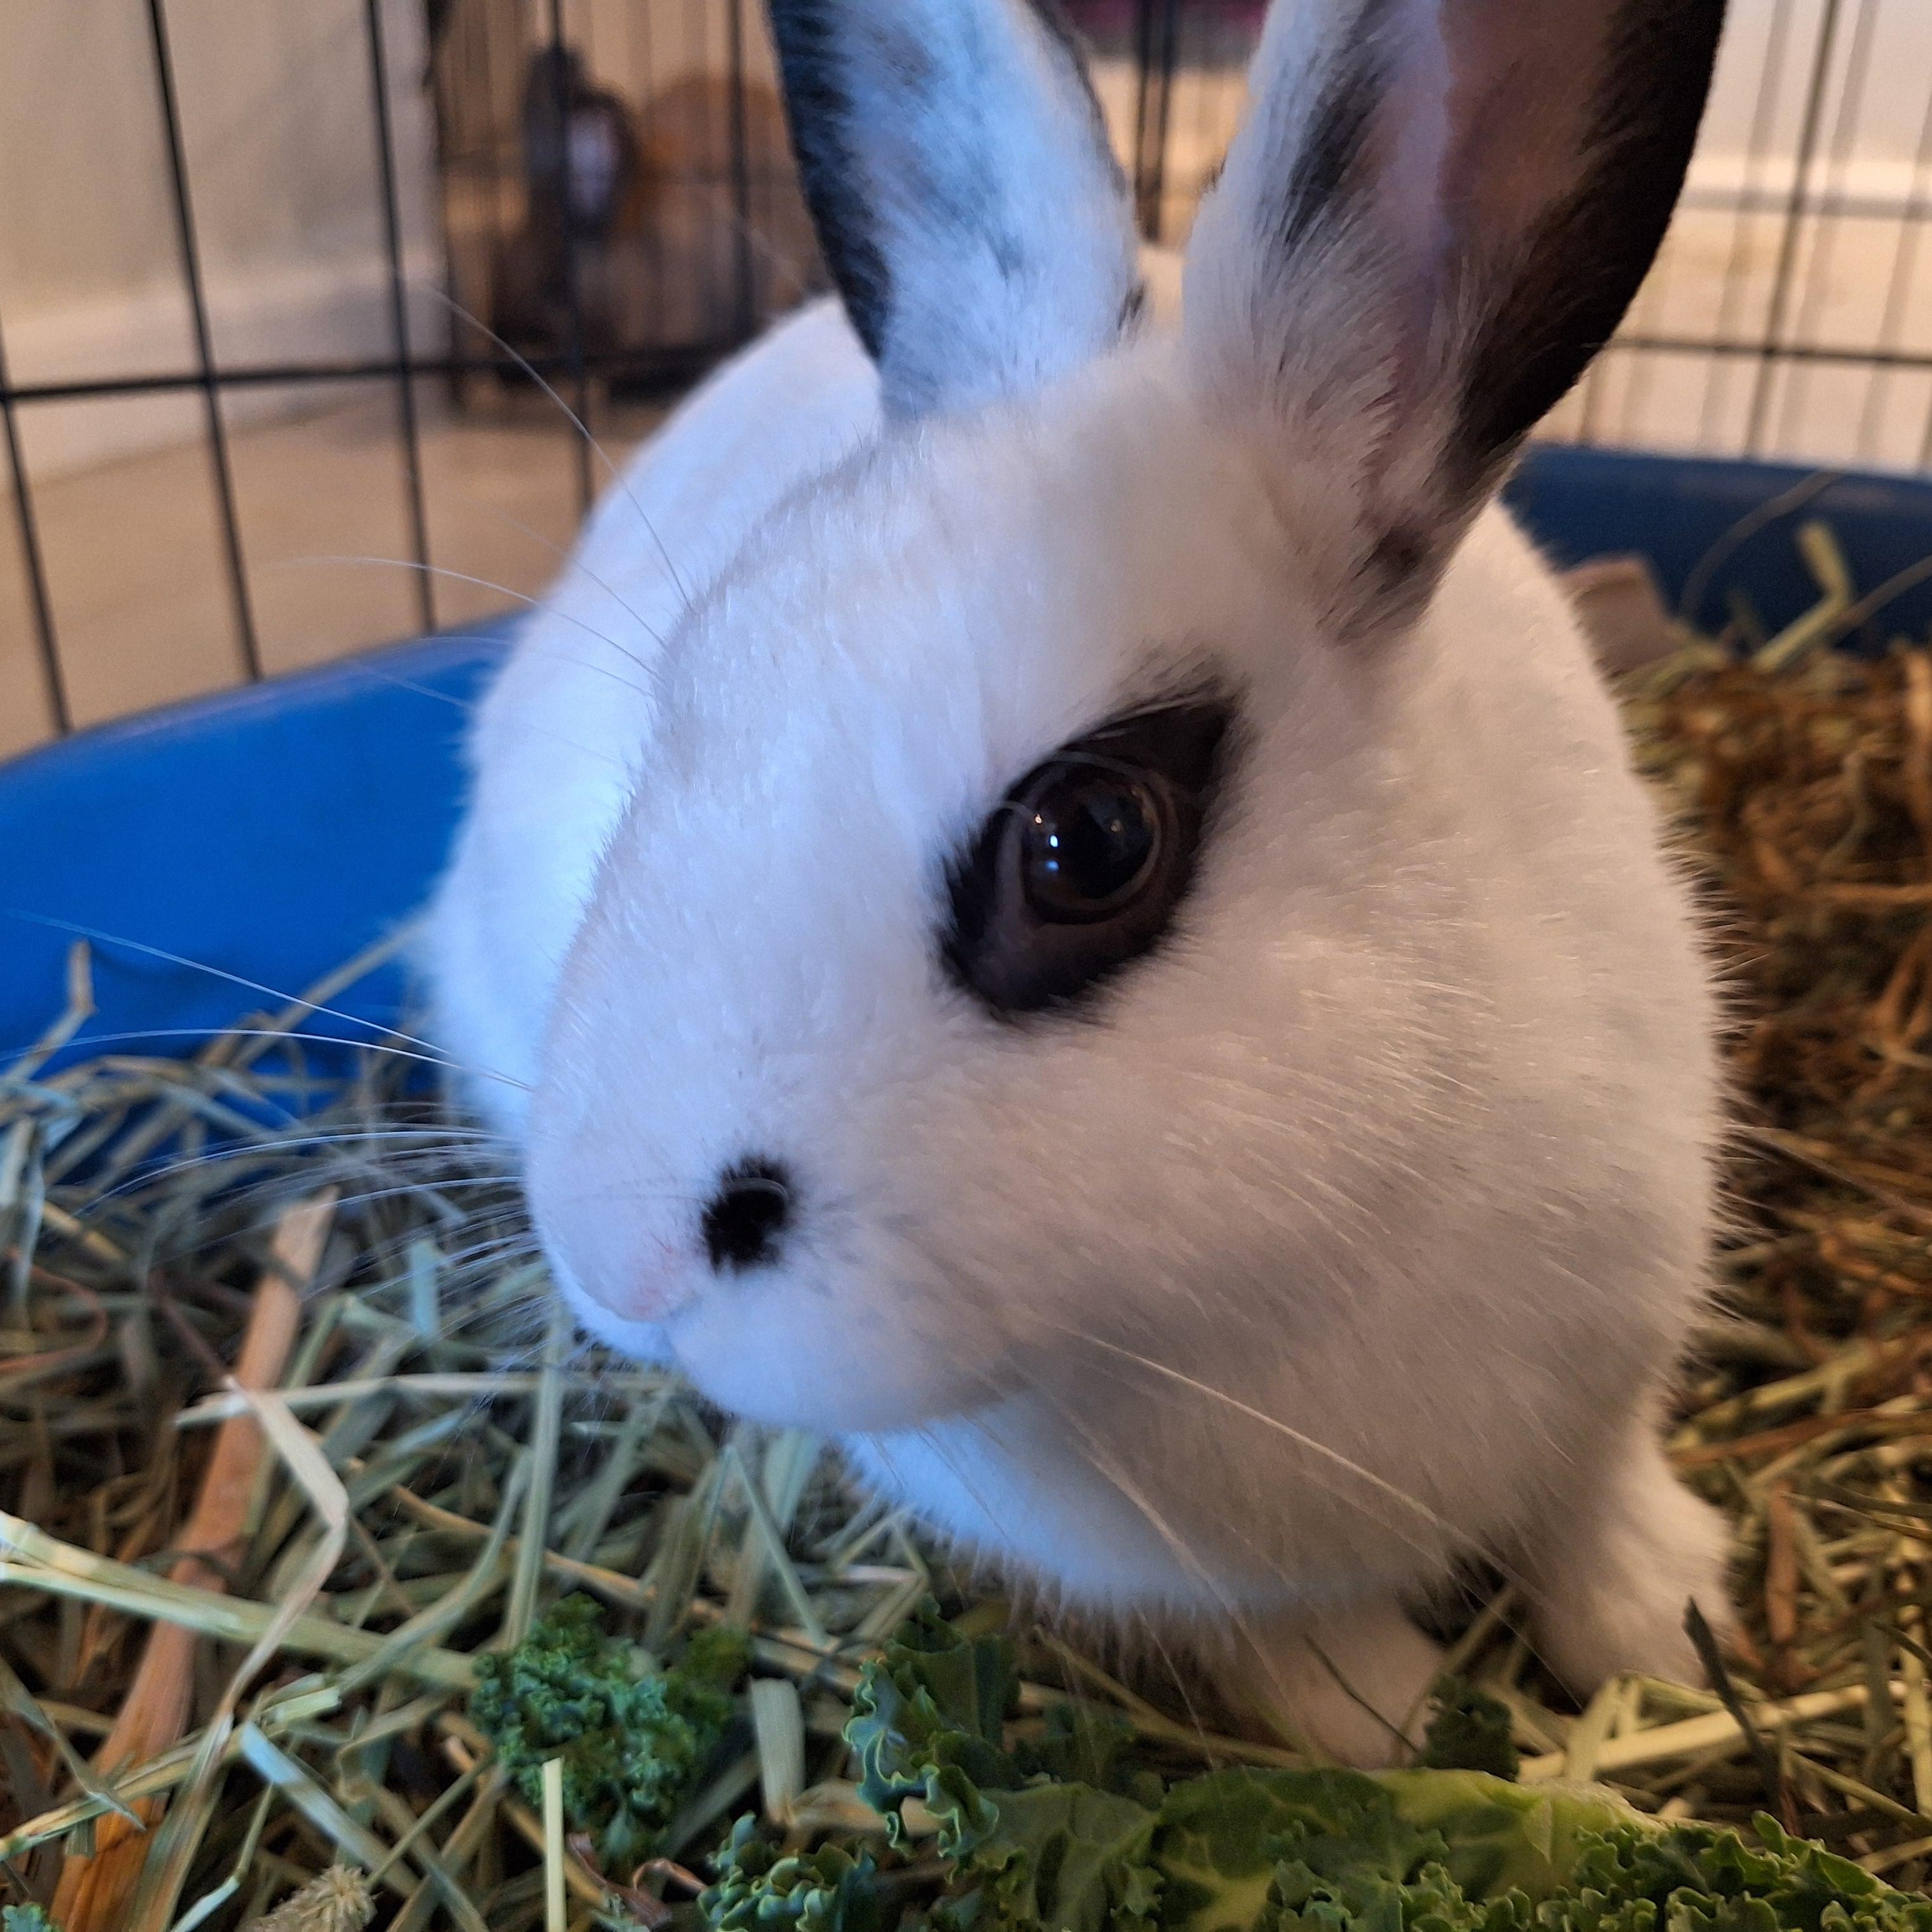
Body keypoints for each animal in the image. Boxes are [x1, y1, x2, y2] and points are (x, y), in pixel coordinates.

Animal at [424, 0, 1734, 1765]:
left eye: (1091, 841)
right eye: (686, 695)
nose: (623, 1266)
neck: (1302, 1245)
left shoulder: (1614, 1356)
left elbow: (1598, 1505)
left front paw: (1668, 1633)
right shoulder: (1211, 1583)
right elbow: (1316, 1653)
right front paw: (1391, 1729)